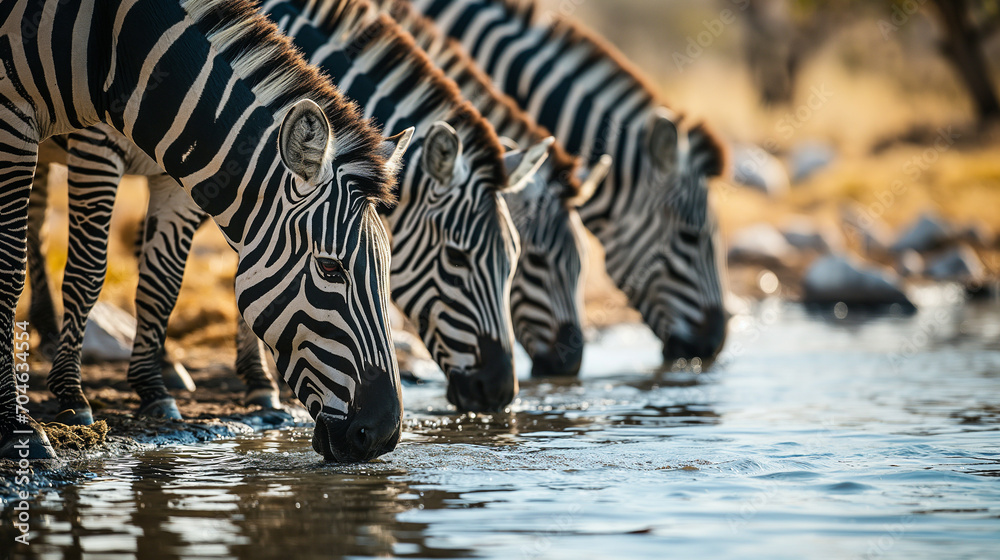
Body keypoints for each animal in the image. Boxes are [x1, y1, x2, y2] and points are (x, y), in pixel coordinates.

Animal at [1, 0, 413, 462]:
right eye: (329, 268)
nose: (383, 434)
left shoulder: (174, 171)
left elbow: (161, 285)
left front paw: (155, 393)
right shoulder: (45, 129)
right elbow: (70, 273)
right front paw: (53, 408)